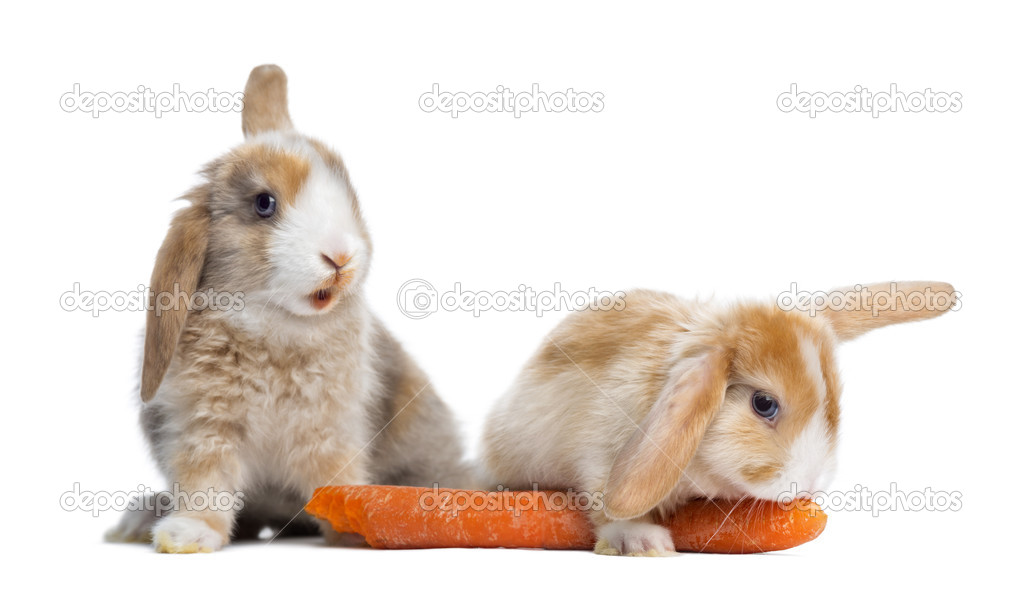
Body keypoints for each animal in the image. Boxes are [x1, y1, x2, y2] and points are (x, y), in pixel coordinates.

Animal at [104, 65, 471, 553]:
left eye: (348, 194)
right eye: (264, 204)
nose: (341, 255)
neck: (275, 324)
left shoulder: (330, 434)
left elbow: (335, 479)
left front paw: (353, 526)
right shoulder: (205, 428)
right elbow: (206, 484)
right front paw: (187, 535)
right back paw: (140, 519)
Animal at [480, 282, 957, 556]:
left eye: (834, 404)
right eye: (763, 404)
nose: (808, 486)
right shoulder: (597, 452)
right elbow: (603, 501)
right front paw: (644, 541)